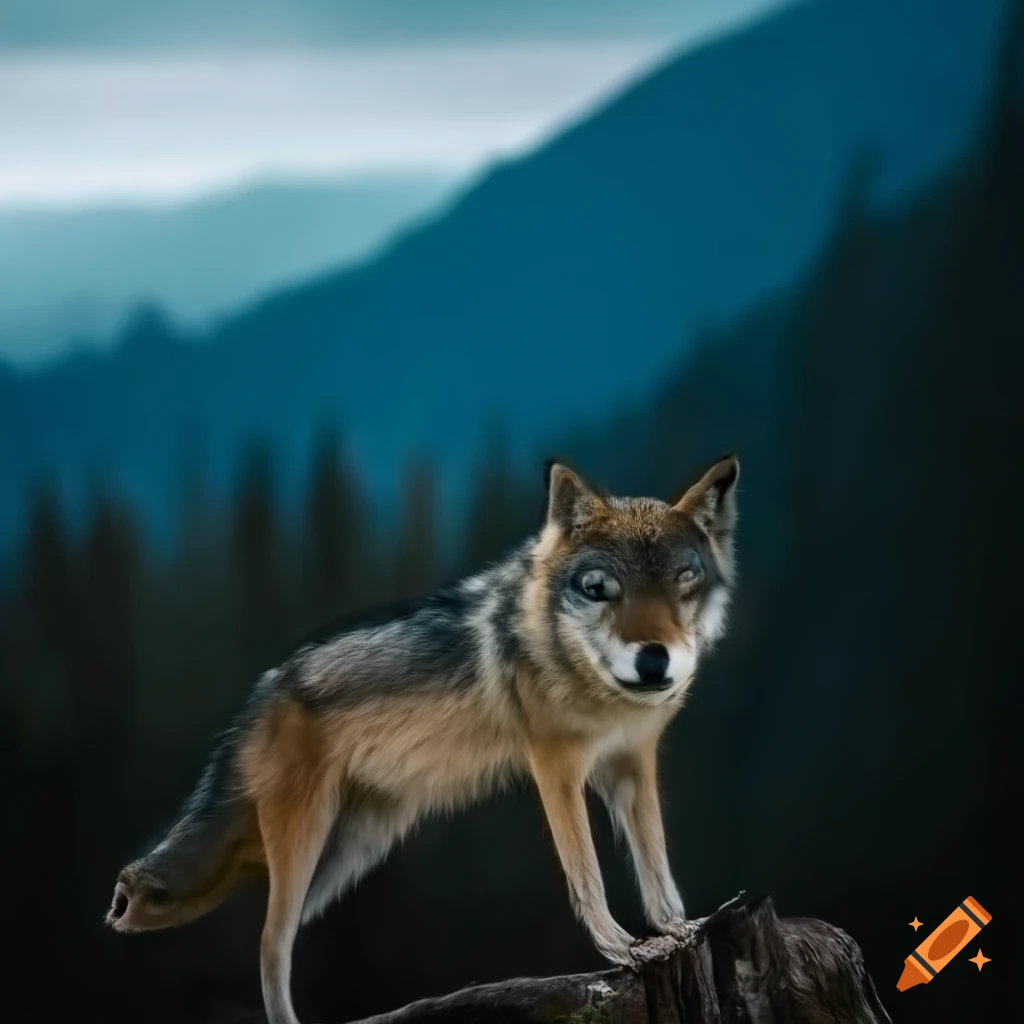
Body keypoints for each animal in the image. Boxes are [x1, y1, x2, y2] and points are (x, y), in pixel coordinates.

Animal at [106, 454, 740, 1024]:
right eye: (597, 588)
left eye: (684, 581)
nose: (653, 660)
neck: (599, 692)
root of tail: (266, 687)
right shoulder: (556, 767)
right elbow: (586, 874)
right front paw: (619, 945)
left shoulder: (632, 765)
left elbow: (657, 866)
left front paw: (676, 928)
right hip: (305, 843)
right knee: (268, 945)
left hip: (347, 852)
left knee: (265, 932)